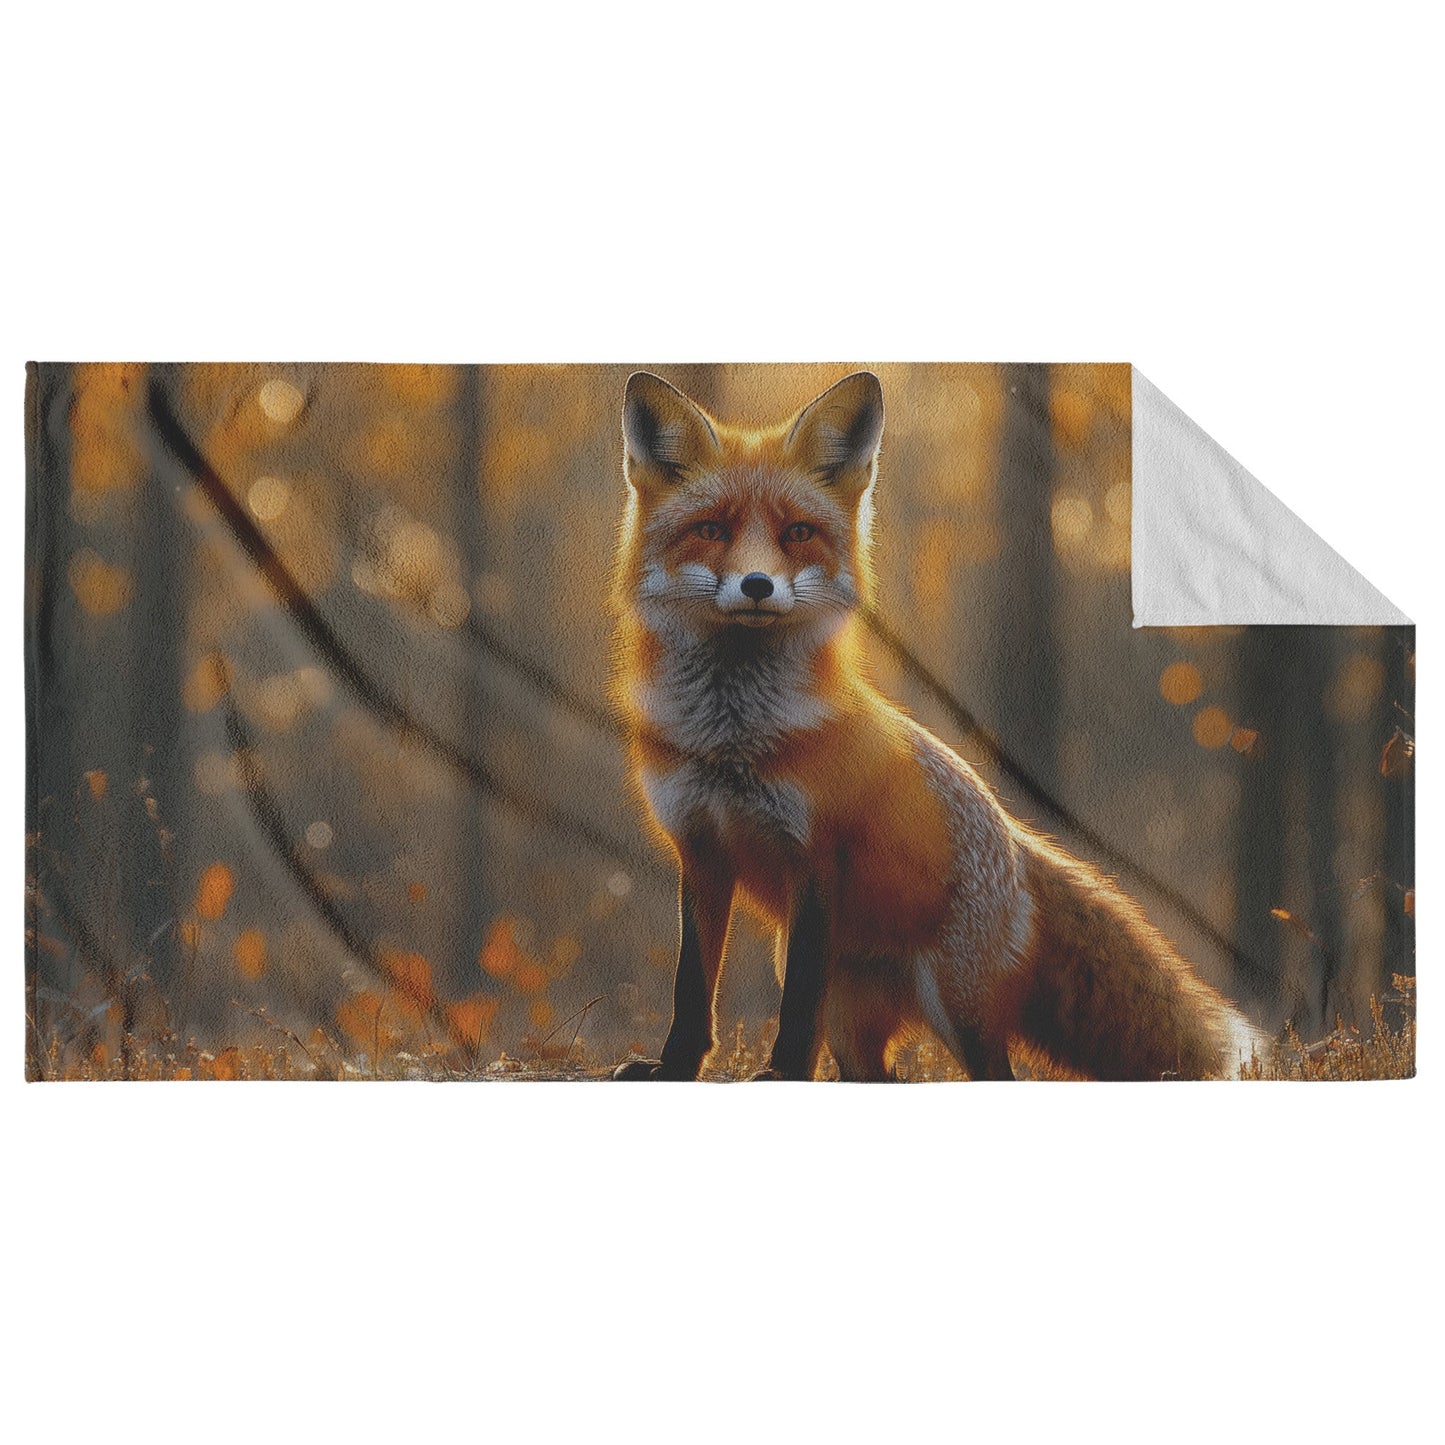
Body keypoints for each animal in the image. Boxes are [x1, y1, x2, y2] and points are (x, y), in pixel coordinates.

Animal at [610, 369, 1261, 1081]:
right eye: (711, 529)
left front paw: (780, 1077)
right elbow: (692, 988)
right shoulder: (701, 851)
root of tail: (1015, 843)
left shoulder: (816, 857)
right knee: (877, 1075)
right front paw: (673, 1068)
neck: (732, 740)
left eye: (798, 534)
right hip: (853, 1023)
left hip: (959, 1010)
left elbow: (796, 1008)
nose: (758, 585)